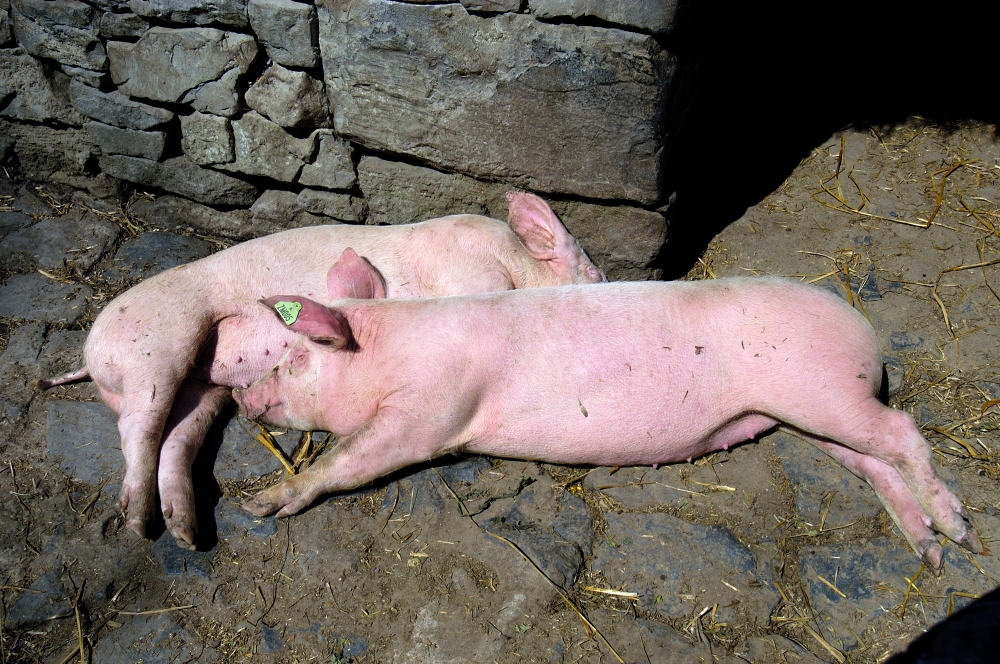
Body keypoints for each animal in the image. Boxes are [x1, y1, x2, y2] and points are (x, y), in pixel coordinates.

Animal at [36, 193, 605, 549]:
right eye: (594, 272)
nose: (604, 283)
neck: (513, 262)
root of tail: (90, 355)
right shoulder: (469, 275)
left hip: (204, 386)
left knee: (176, 438)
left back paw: (186, 534)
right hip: (157, 345)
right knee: (139, 429)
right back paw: (139, 525)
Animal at [234, 274, 981, 571]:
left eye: (294, 358)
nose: (243, 397)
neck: (391, 352)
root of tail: (865, 331)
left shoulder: (431, 412)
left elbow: (351, 456)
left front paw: (258, 505)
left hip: (820, 392)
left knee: (903, 430)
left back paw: (960, 533)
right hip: (807, 415)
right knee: (875, 460)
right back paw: (930, 551)